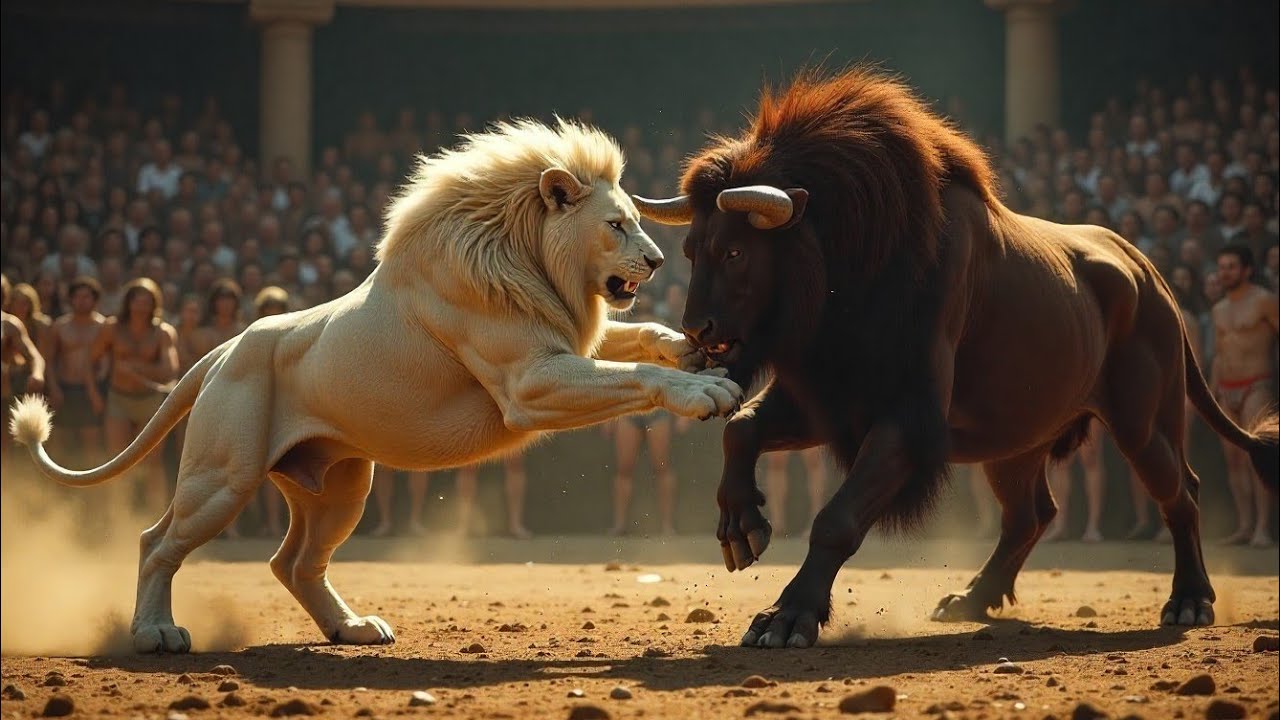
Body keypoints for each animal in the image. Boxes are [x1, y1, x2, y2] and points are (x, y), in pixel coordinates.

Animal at [9, 118, 744, 654]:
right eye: (617, 224)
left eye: (636, 220)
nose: (657, 260)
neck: (527, 253)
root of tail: (223, 349)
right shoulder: (529, 380)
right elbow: (635, 374)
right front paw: (703, 392)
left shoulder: (565, 342)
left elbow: (637, 340)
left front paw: (692, 349)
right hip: (223, 477)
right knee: (155, 542)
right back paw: (155, 633)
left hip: (339, 486)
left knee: (293, 563)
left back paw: (352, 628)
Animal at [633, 68, 1278, 649]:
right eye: (690, 249)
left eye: (736, 251)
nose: (696, 328)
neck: (854, 265)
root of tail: (1151, 275)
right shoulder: (823, 402)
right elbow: (740, 429)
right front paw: (742, 528)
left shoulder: (907, 418)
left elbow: (836, 519)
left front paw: (787, 618)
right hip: (1017, 443)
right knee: (1031, 514)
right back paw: (971, 599)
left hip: (1144, 422)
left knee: (1182, 492)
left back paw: (1189, 601)